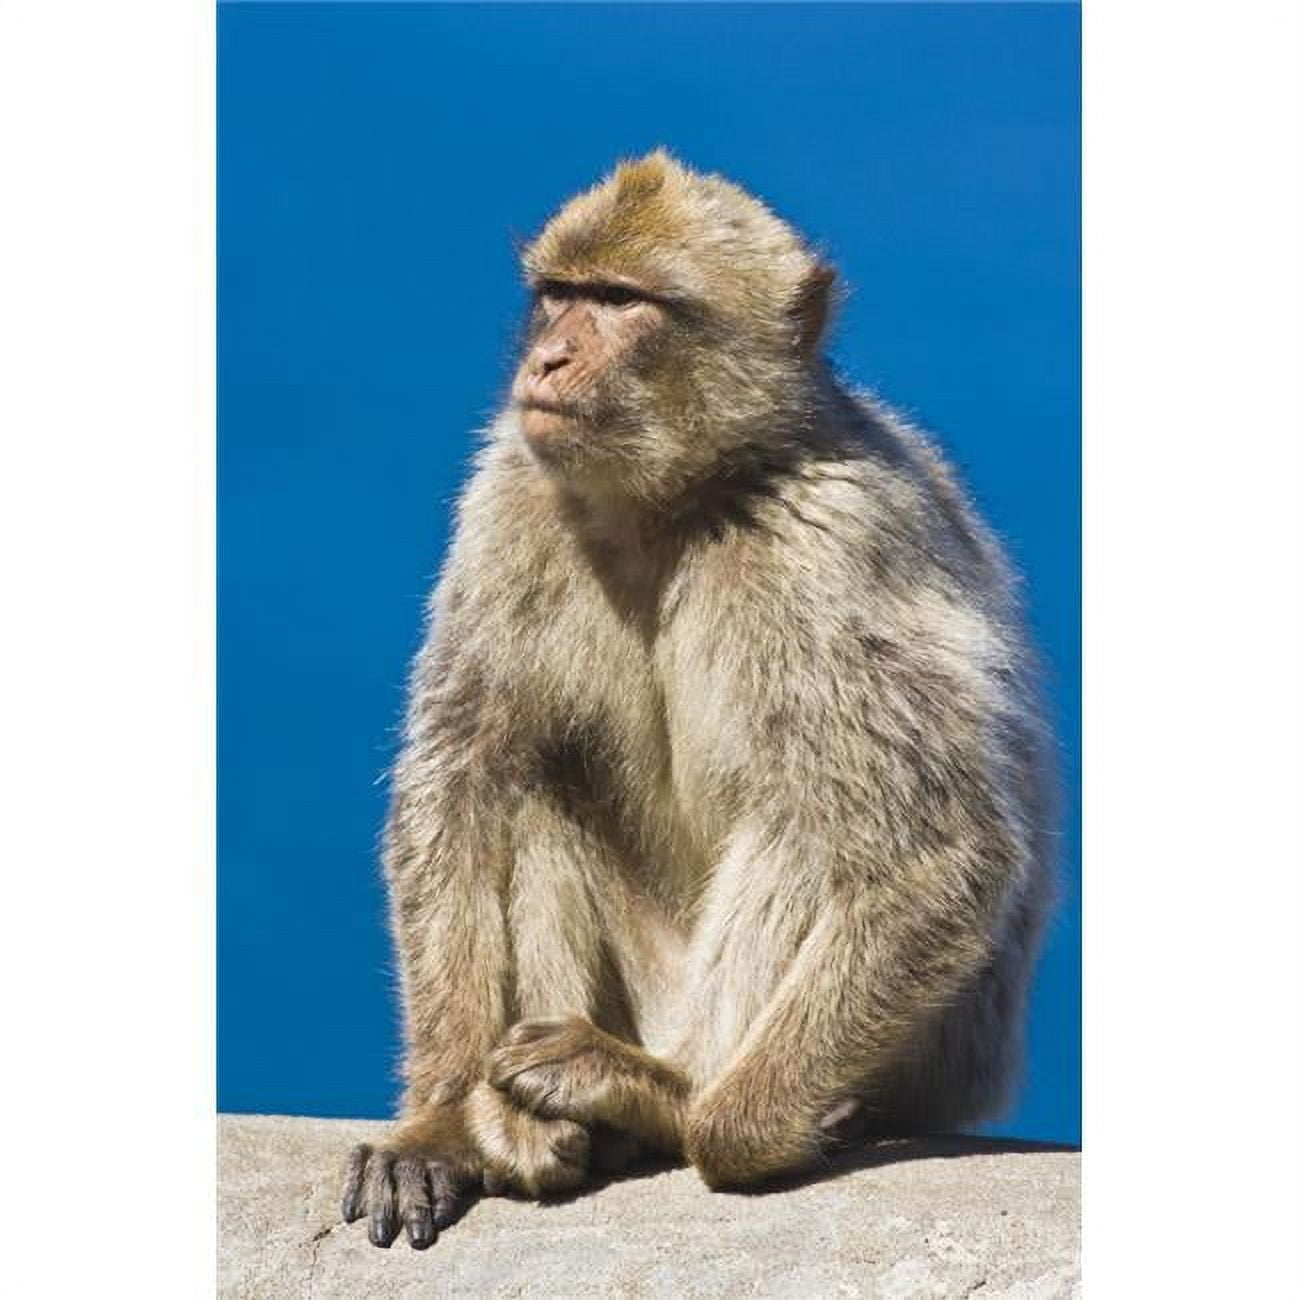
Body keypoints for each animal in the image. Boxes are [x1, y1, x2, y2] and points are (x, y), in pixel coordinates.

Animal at [339, 151, 1056, 1250]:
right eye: (560, 293)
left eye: (622, 303)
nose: (548, 359)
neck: (676, 500)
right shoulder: (508, 491)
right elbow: (460, 784)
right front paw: (439, 1125)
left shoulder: (834, 537)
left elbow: (940, 845)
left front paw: (722, 1129)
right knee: (531, 790)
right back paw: (532, 1126)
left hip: (919, 1060)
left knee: (819, 816)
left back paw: (658, 1094)